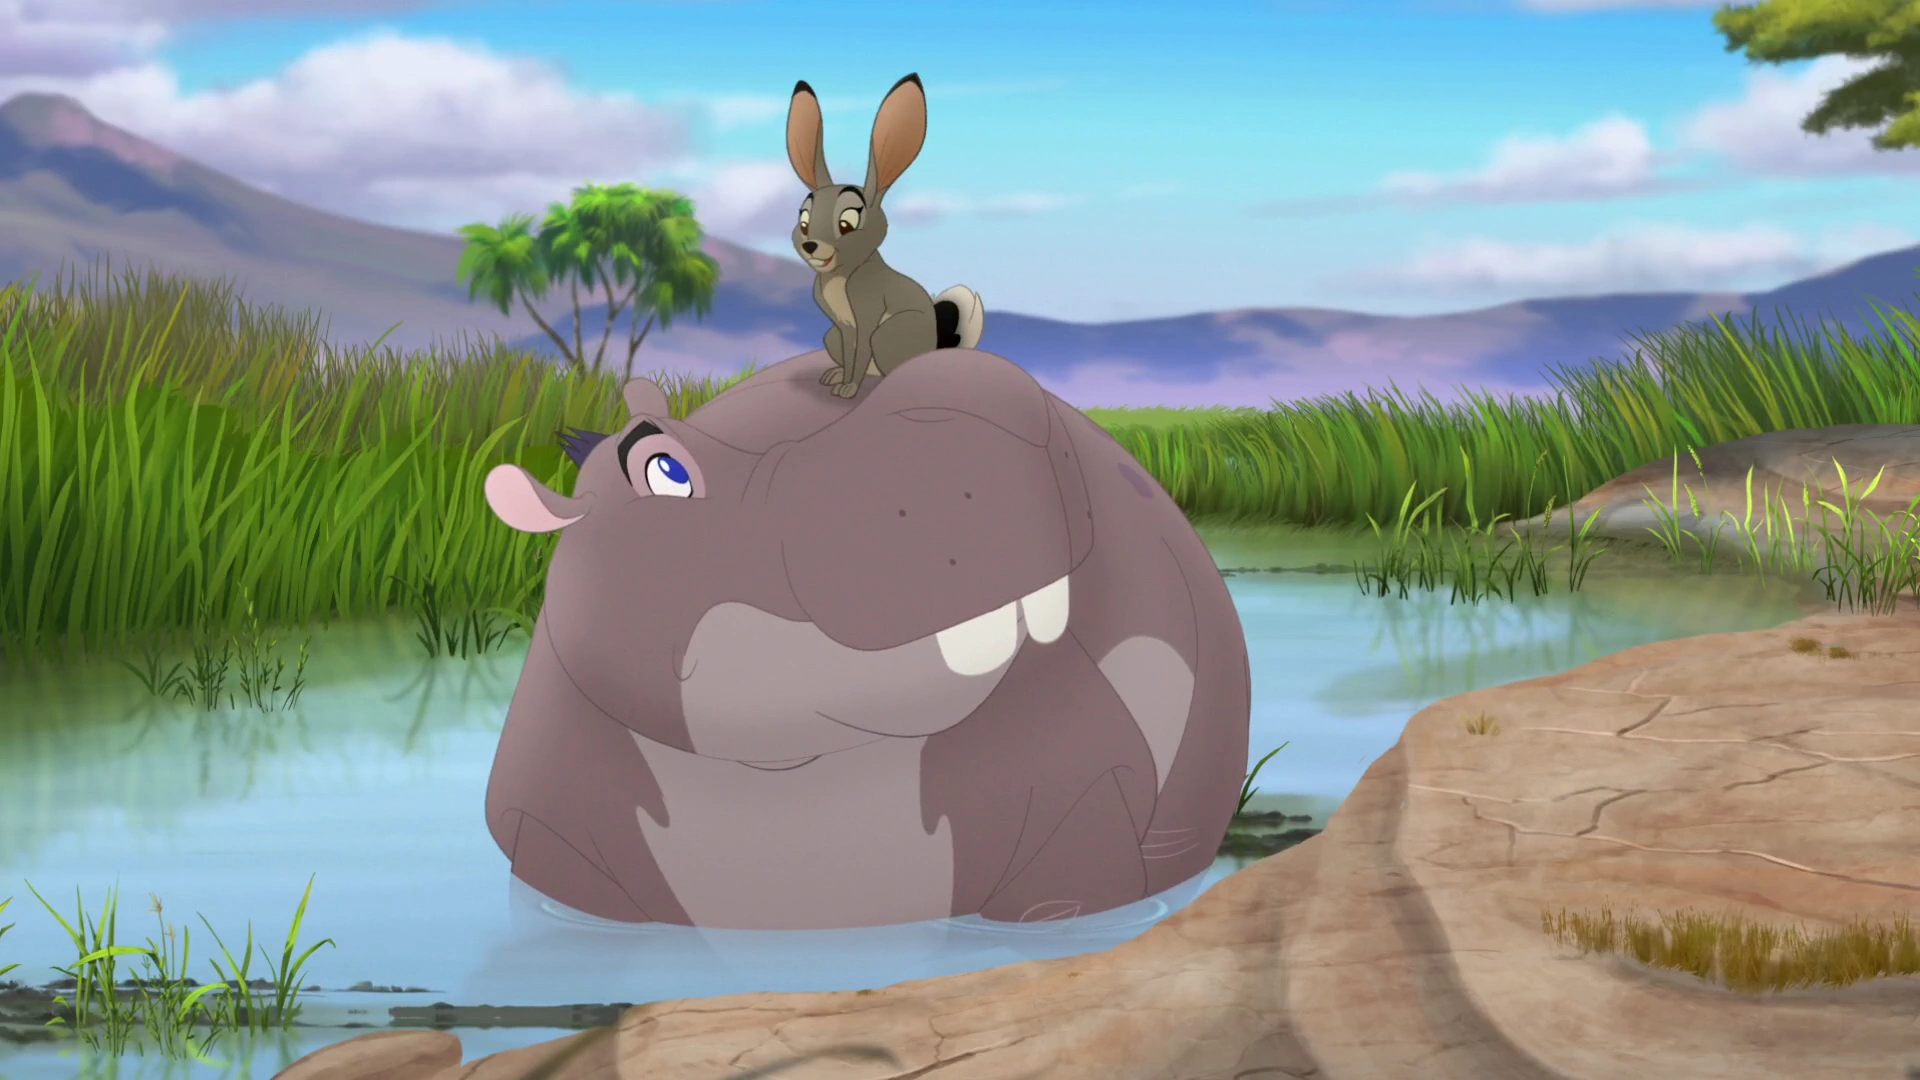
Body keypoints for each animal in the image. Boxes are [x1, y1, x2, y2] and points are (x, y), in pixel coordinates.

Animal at [787, 73, 985, 399]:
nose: (811, 244)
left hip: (889, 333)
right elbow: (850, 351)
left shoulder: (868, 313)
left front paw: (849, 389)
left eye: (848, 222)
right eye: (803, 220)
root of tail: (933, 346)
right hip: (830, 335)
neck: (841, 275)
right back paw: (836, 373)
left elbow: (860, 352)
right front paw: (843, 380)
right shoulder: (843, 327)